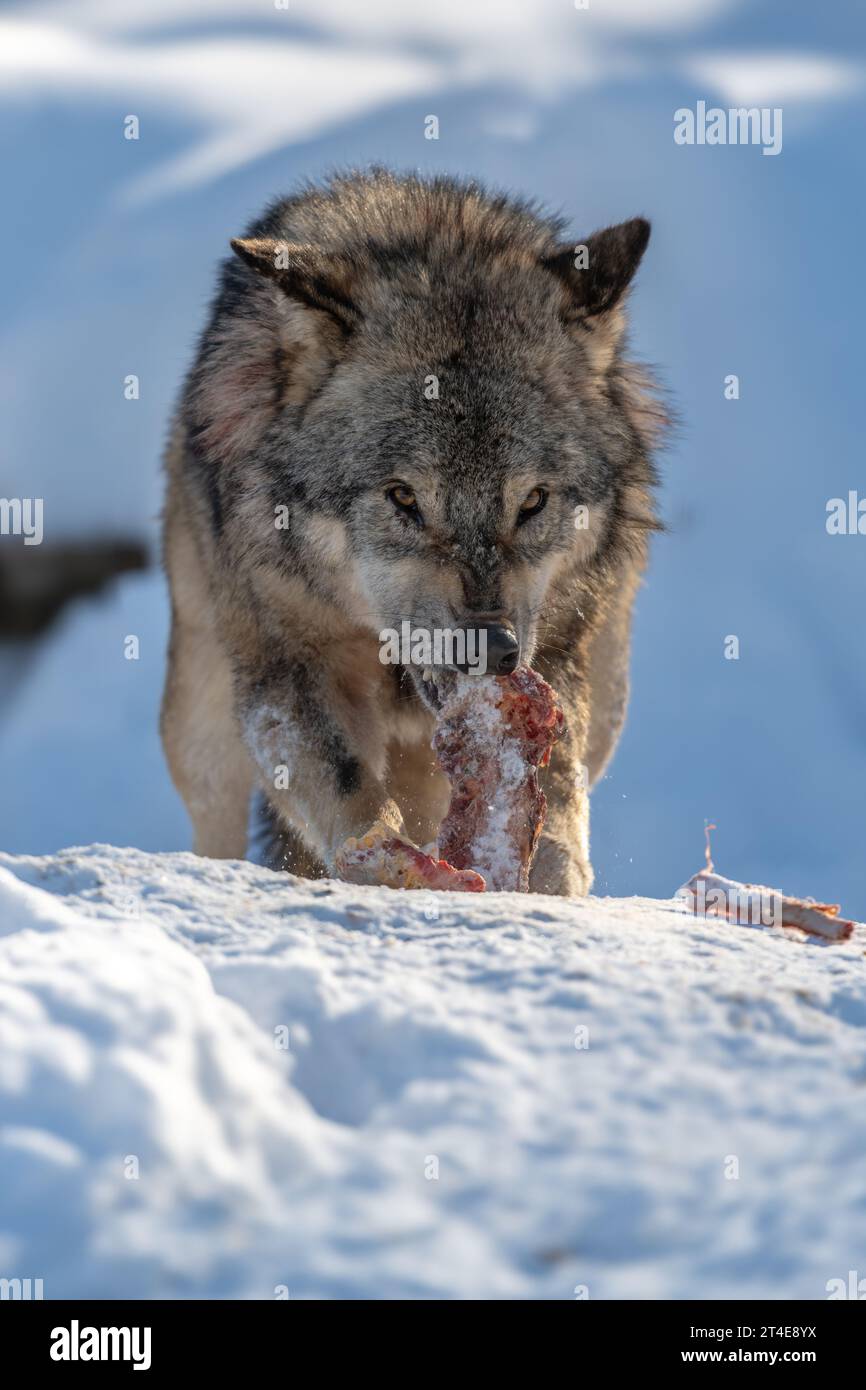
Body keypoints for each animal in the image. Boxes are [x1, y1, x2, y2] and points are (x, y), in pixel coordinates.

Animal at [161, 169, 665, 895]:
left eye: (532, 502)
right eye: (404, 498)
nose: (492, 650)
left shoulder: (555, 661)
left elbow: (555, 795)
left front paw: (547, 883)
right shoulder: (287, 668)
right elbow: (345, 782)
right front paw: (384, 862)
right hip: (203, 721)